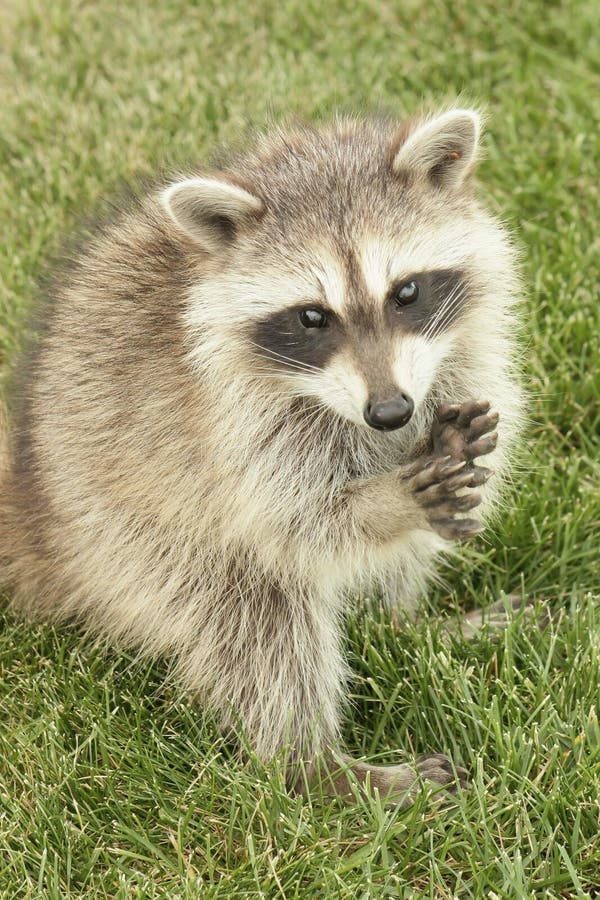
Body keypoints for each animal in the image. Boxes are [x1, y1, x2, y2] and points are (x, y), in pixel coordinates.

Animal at [0, 108, 523, 803]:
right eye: (312, 317)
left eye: (407, 292)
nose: (390, 413)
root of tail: (39, 511)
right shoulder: (234, 423)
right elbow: (298, 522)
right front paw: (386, 502)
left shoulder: (459, 356)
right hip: (135, 539)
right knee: (258, 622)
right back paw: (319, 768)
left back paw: (403, 623)